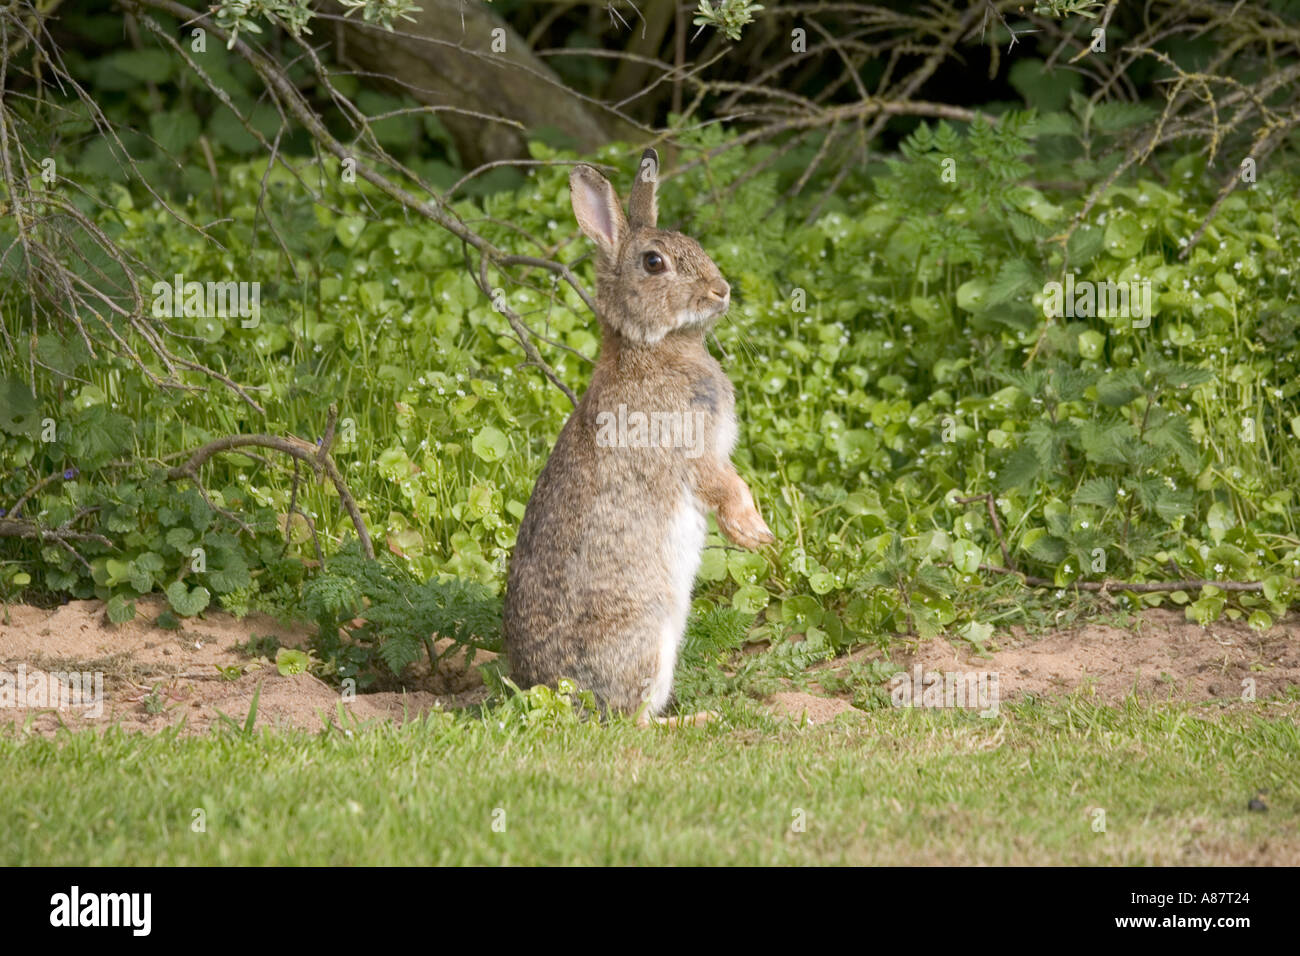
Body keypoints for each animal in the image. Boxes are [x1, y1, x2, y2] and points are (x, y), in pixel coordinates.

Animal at [503, 148, 774, 719]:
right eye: (654, 263)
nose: (721, 291)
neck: (652, 348)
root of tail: (555, 694)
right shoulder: (691, 450)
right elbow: (725, 487)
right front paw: (754, 534)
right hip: (648, 633)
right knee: (631, 721)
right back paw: (696, 719)